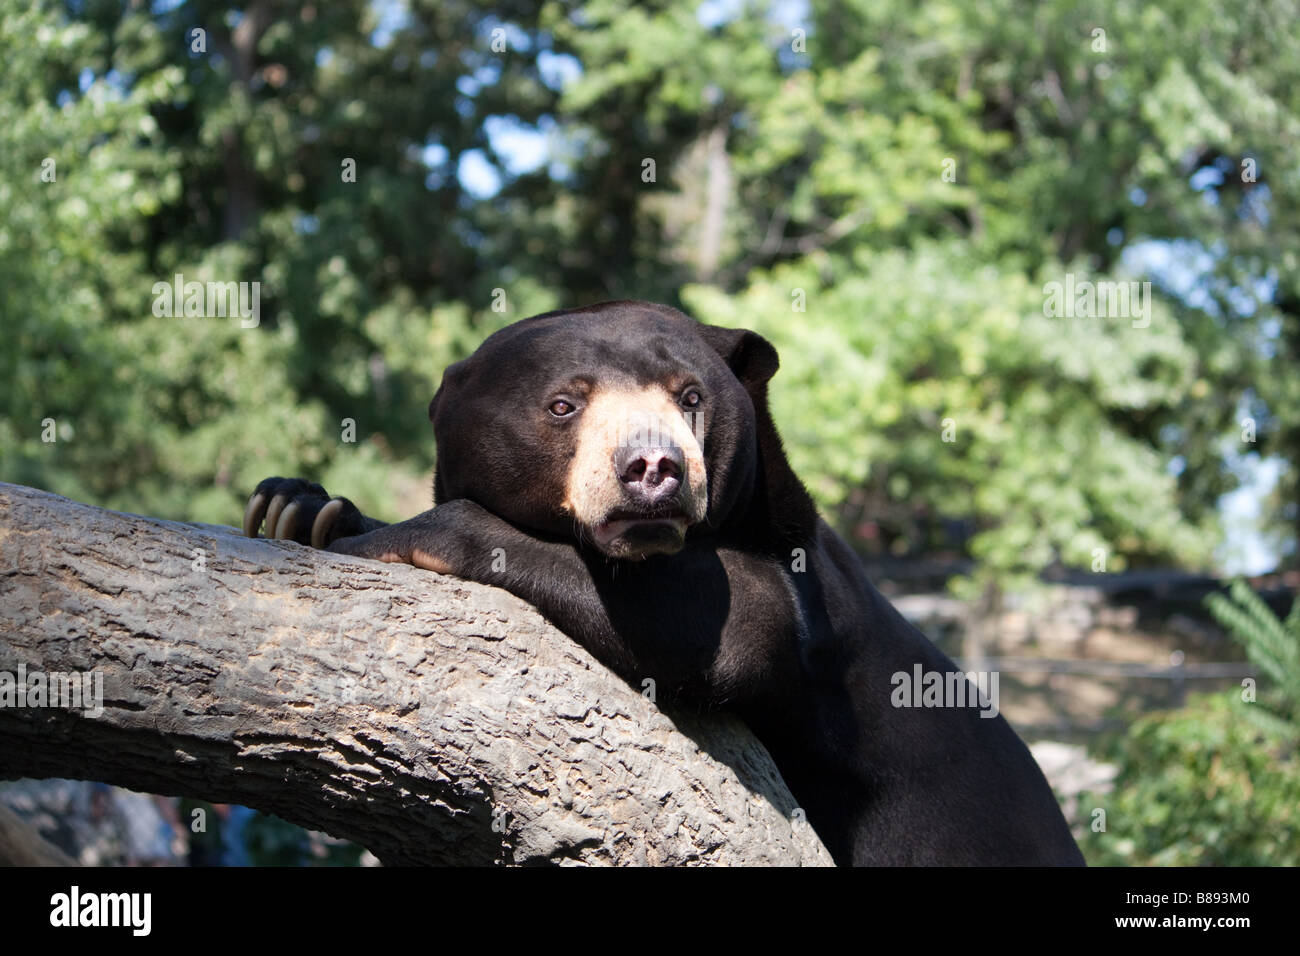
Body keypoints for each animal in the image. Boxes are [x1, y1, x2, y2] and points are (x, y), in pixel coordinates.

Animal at [242, 299, 1084, 866]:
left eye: (690, 397)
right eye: (564, 403)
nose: (654, 468)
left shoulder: (806, 615)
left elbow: (729, 623)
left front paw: (383, 533)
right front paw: (299, 505)